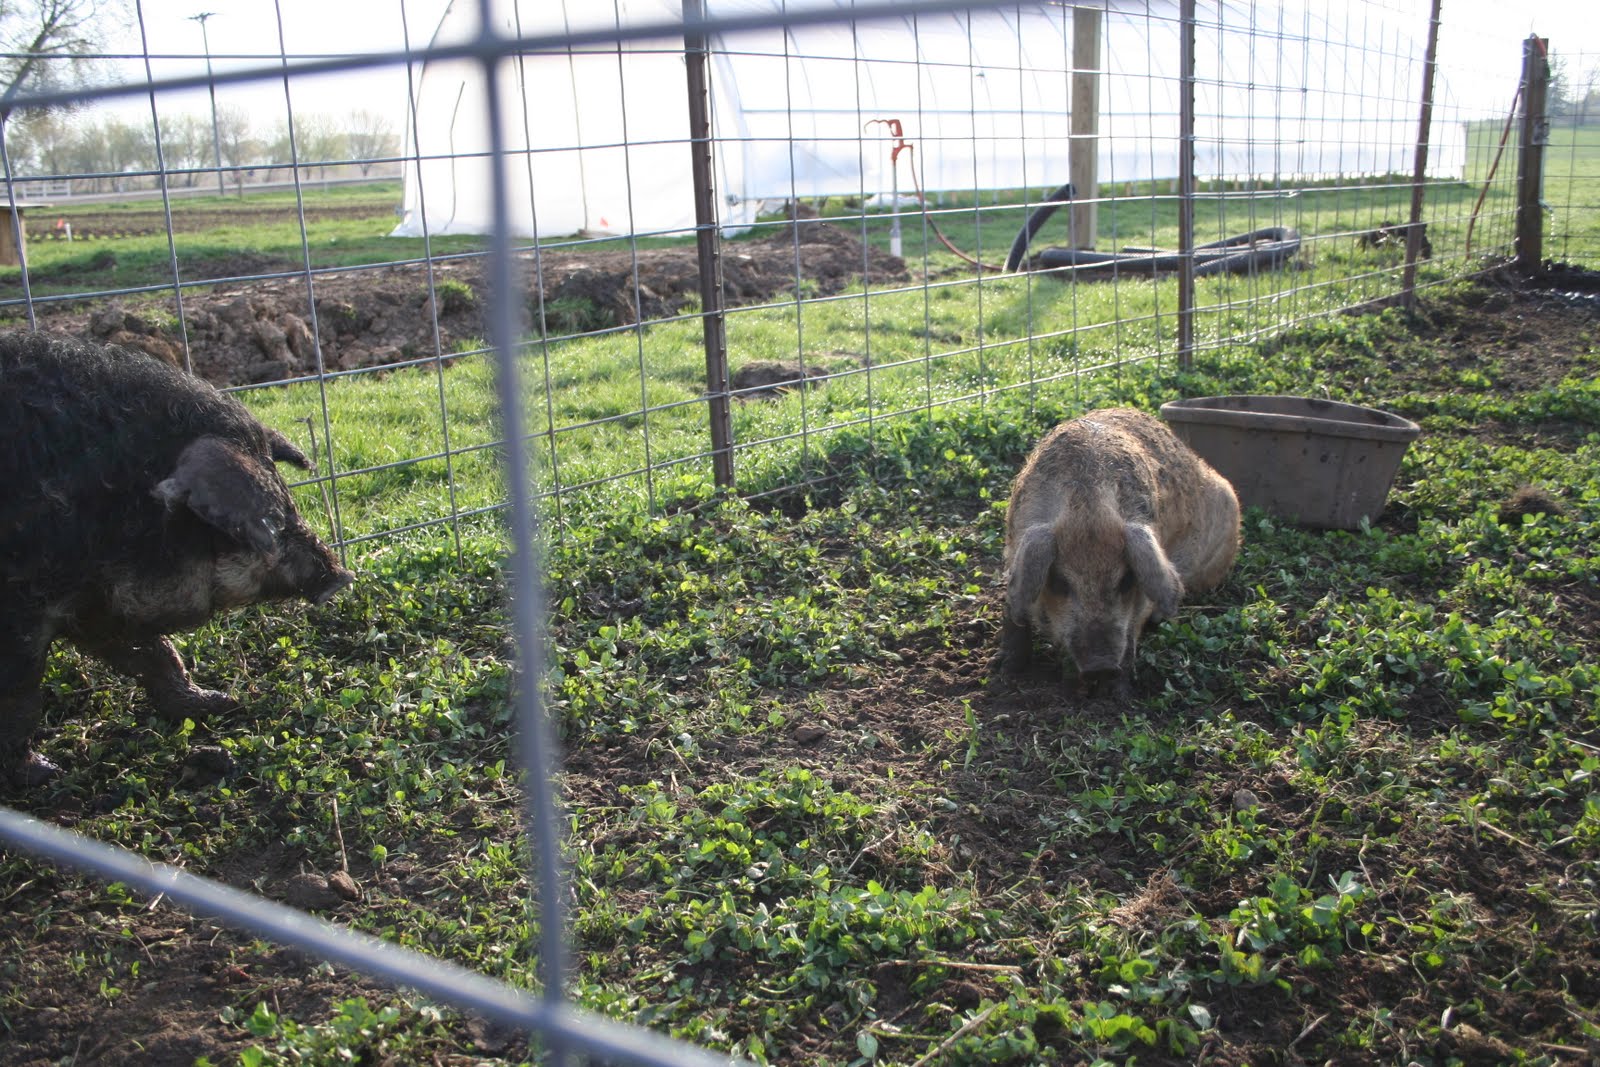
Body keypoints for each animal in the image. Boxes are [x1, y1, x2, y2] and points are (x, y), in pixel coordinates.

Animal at [1, 332, 354, 785]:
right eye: (271, 521)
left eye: (286, 500)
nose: (340, 578)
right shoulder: (21, 615)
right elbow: (20, 695)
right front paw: (46, 774)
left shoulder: (94, 602)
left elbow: (152, 653)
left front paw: (220, 702)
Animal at [994, 407, 1240, 700]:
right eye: (1060, 582)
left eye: (1125, 580)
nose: (1101, 666)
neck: (1087, 511)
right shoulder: (1015, 549)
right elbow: (1014, 614)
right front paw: (1004, 670)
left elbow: (1132, 630)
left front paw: (1118, 695)